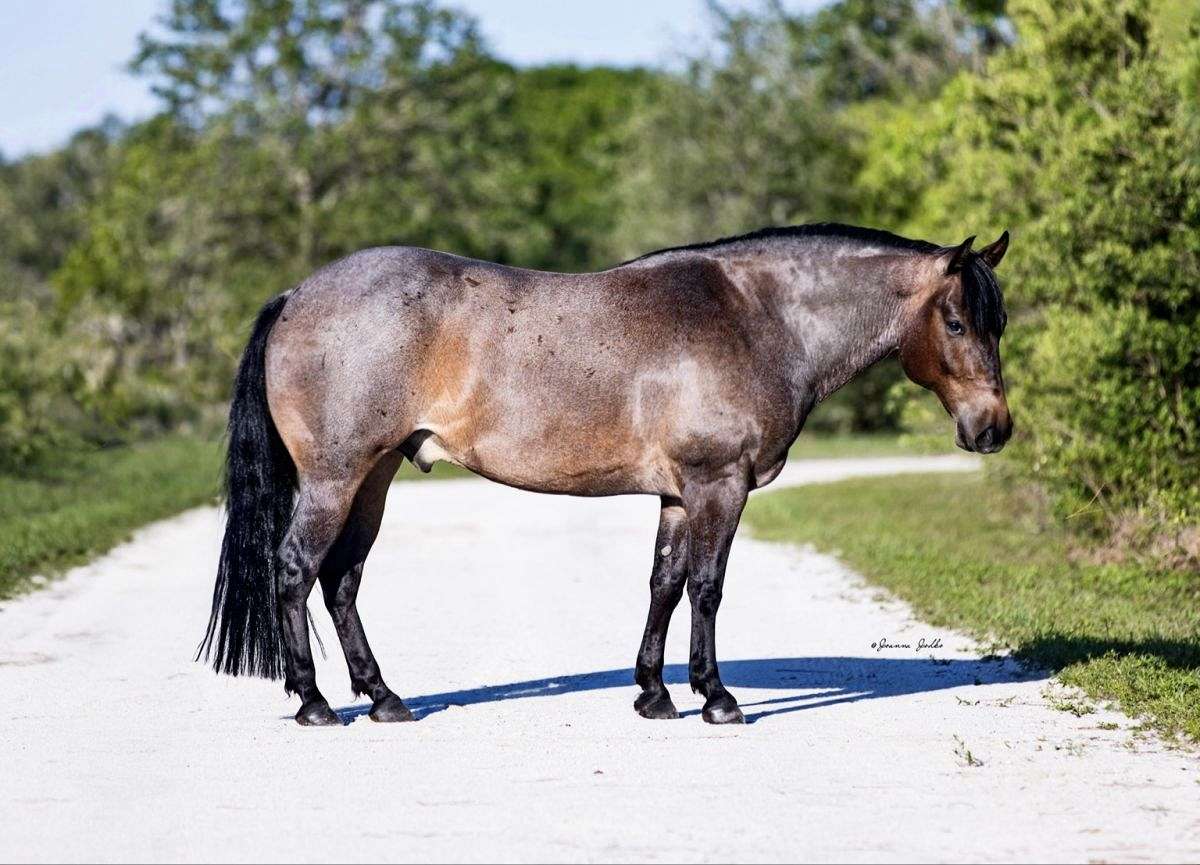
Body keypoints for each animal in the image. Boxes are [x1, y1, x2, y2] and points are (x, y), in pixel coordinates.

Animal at [199, 223, 1012, 726]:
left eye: (997, 323)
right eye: (957, 322)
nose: (994, 427)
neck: (755, 318)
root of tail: (296, 296)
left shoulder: (680, 494)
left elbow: (664, 584)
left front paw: (654, 693)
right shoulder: (719, 485)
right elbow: (707, 587)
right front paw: (715, 697)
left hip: (372, 479)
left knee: (341, 580)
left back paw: (384, 696)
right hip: (336, 478)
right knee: (296, 568)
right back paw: (314, 702)